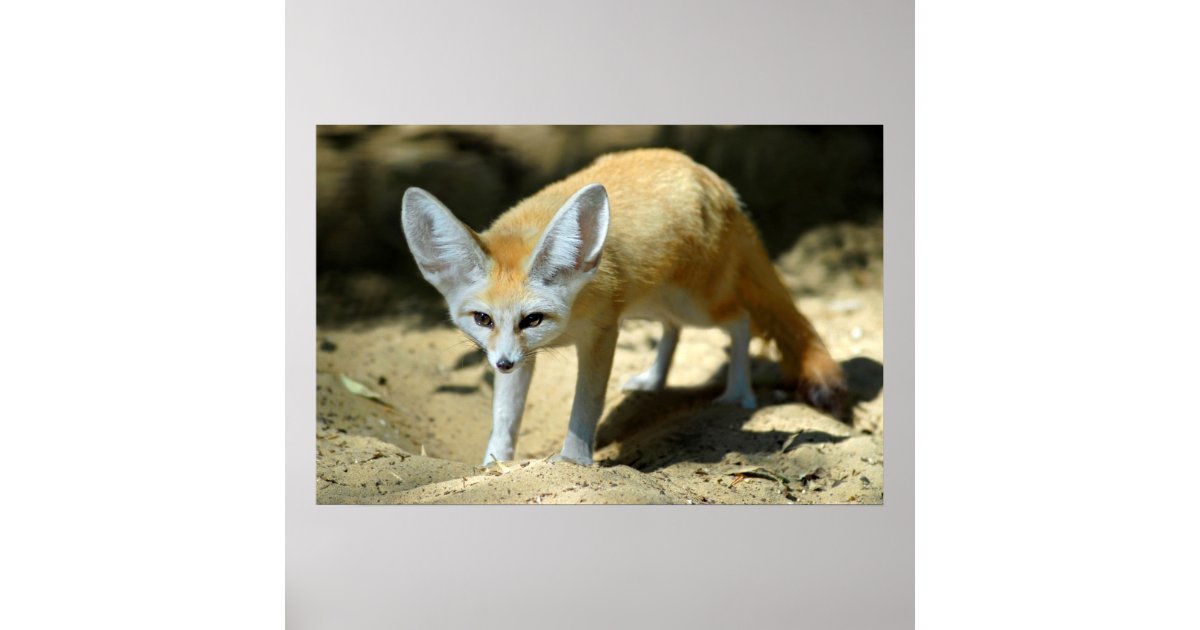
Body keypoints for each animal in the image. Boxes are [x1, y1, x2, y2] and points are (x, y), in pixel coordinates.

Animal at [401, 148, 849, 466]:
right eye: (483, 319)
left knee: (740, 321)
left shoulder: (602, 334)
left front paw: (574, 460)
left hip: (695, 305)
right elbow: (505, 417)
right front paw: (494, 464)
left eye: (533, 319)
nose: (503, 364)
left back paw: (738, 392)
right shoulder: (526, 354)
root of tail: (708, 175)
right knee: (673, 328)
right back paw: (654, 380)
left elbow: (586, 405)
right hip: (650, 305)